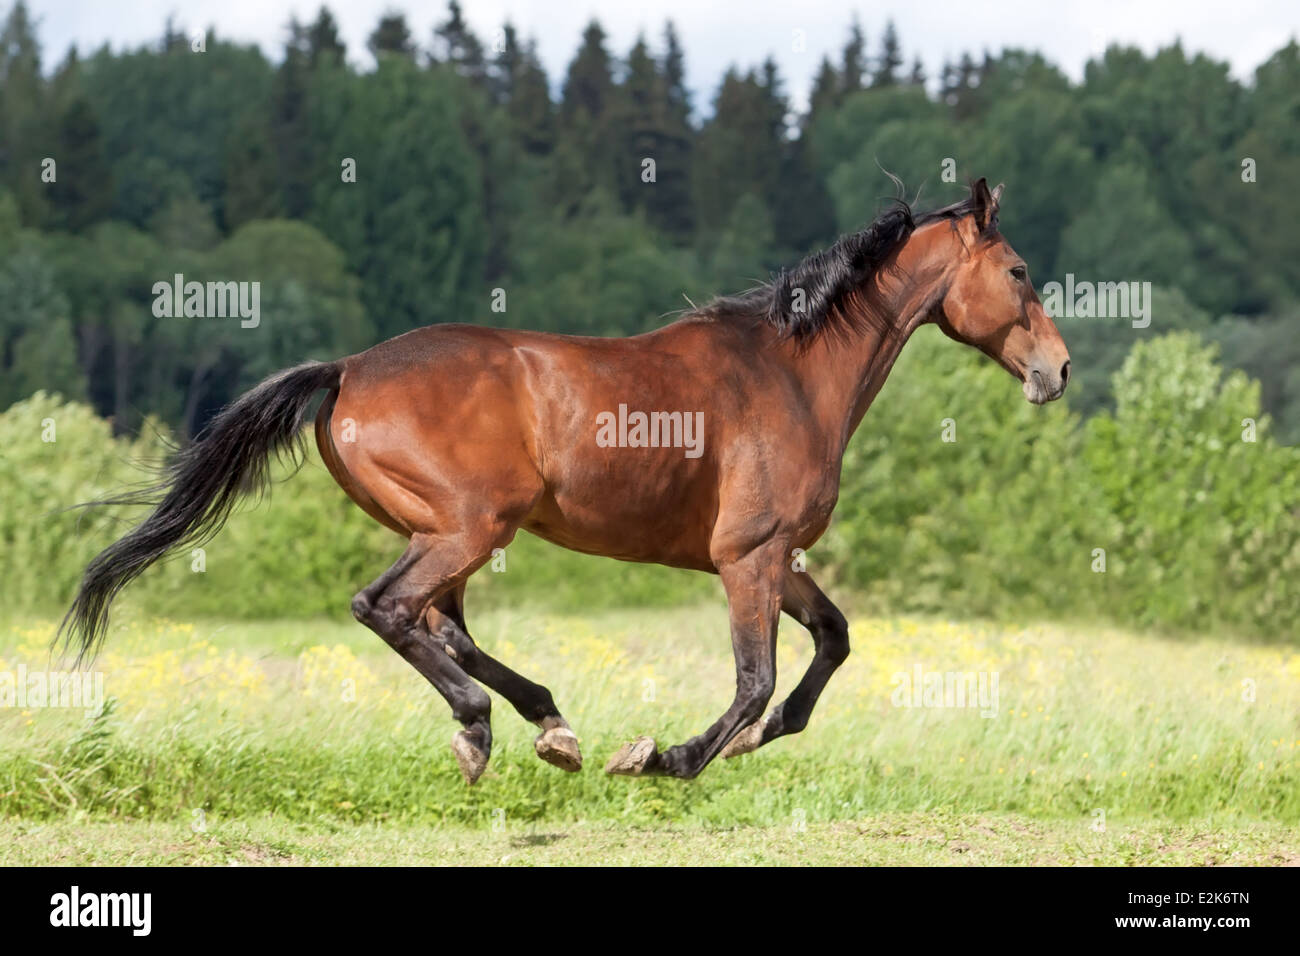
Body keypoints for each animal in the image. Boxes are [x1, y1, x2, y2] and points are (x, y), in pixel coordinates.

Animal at [62, 178, 1070, 783]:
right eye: (1019, 270)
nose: (1056, 371)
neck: (790, 372)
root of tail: (346, 370)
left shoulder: (777, 558)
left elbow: (831, 642)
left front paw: (750, 739)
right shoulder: (749, 555)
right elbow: (755, 676)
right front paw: (665, 757)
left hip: (445, 533)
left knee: (439, 625)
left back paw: (546, 724)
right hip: (469, 528)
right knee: (388, 609)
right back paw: (488, 730)